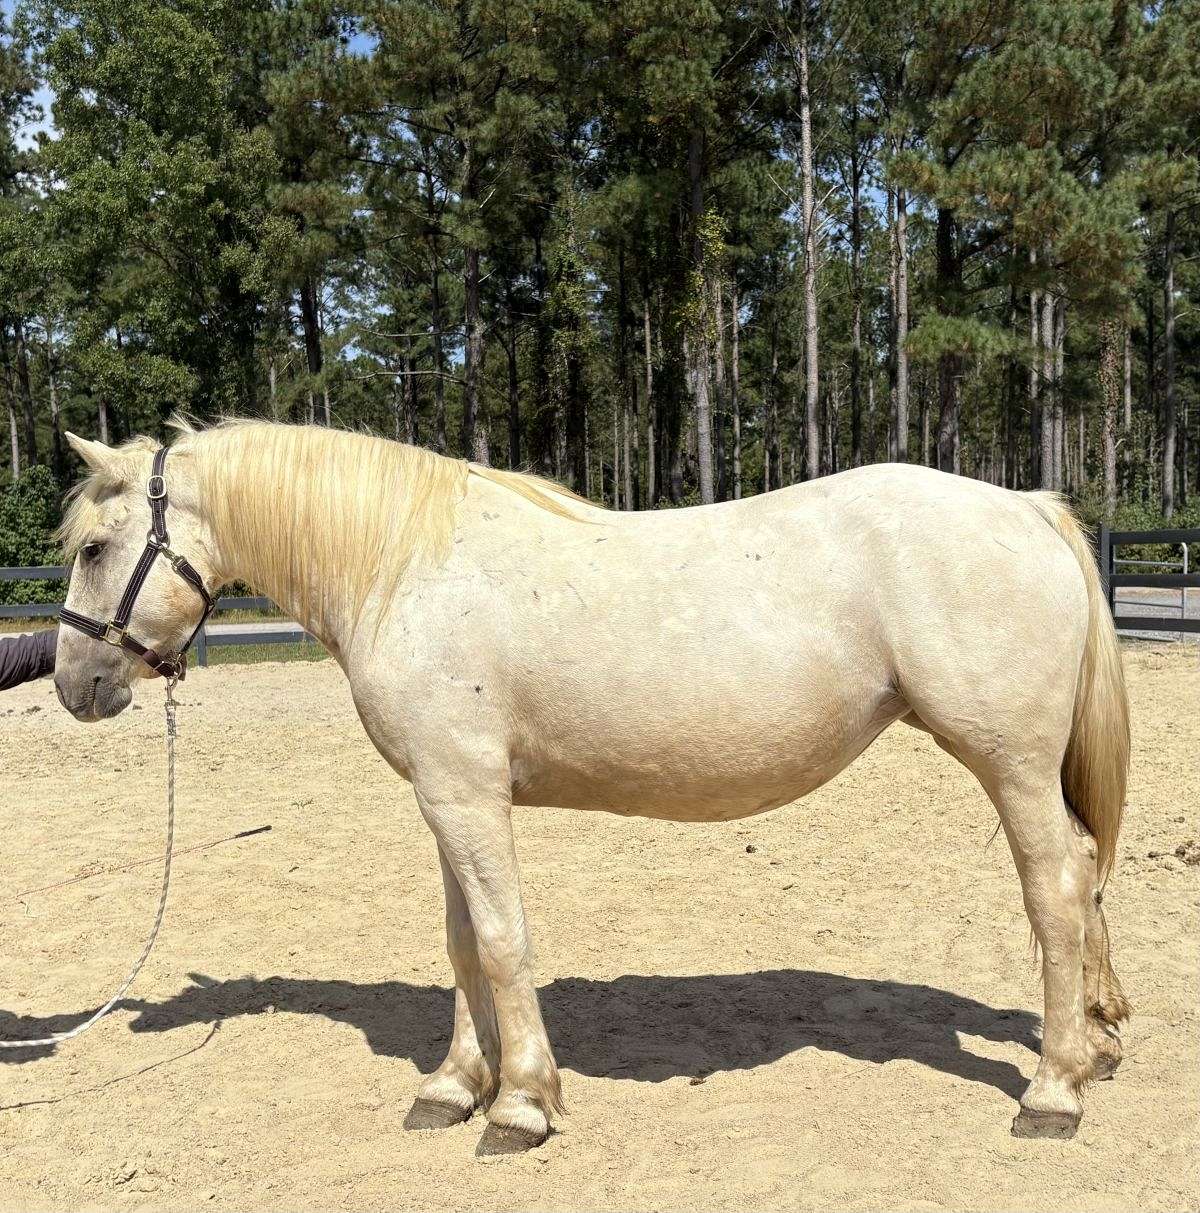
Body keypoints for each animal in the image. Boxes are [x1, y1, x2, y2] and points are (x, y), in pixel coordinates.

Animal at [53, 419, 1130, 1153]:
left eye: (94, 548)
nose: (73, 685)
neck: (403, 568)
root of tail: (1025, 505)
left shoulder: (467, 797)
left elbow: (500, 941)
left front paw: (523, 1103)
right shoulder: (446, 798)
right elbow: (461, 945)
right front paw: (454, 1086)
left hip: (1010, 764)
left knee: (1055, 891)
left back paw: (1054, 1088)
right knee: (1084, 876)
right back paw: (1097, 1042)